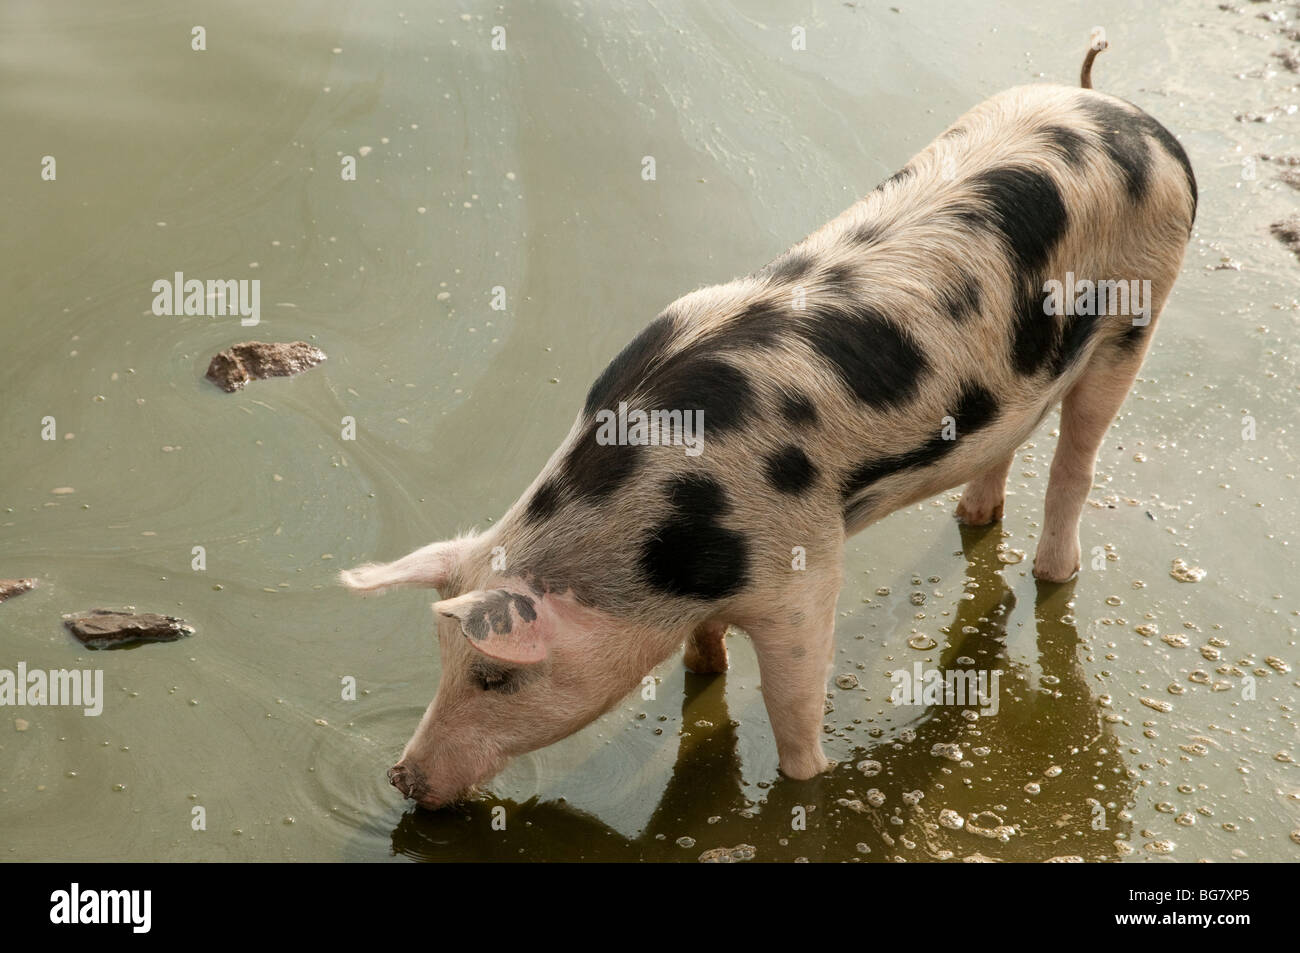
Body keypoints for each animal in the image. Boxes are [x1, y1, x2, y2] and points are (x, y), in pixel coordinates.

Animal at [341, 39, 1195, 809]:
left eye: (496, 675)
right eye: (442, 660)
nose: (400, 777)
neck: (667, 539)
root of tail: (1133, 117)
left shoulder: (805, 568)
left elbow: (794, 698)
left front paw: (807, 781)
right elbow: (704, 653)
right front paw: (704, 675)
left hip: (1140, 311)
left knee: (1077, 459)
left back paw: (1054, 573)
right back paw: (973, 517)